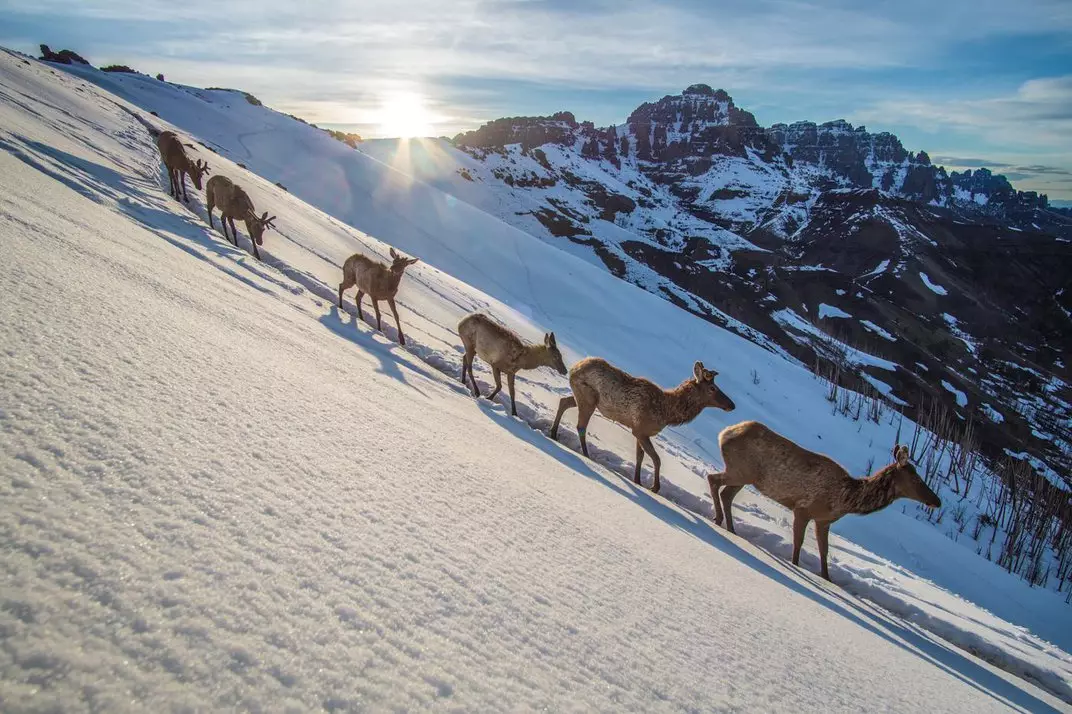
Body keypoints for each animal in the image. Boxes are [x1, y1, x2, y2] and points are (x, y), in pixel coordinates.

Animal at [553, 358, 737, 493]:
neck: (667, 412)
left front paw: (638, 481)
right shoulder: (640, 430)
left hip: (582, 397)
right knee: (580, 425)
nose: (732, 405)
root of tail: (574, 367)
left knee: (564, 402)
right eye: (712, 388)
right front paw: (654, 487)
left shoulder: (639, 432)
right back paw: (586, 454)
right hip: (589, 398)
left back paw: (554, 433)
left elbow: (639, 457)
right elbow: (656, 459)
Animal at [707, 420, 943, 583]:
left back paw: (730, 527)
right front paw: (795, 565)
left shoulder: (824, 521)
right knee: (713, 479)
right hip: (740, 470)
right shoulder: (803, 508)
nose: (937, 501)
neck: (845, 500)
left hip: (745, 475)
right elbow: (799, 542)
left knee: (726, 494)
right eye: (916, 478)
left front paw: (827, 578)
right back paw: (718, 519)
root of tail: (724, 433)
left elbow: (824, 550)